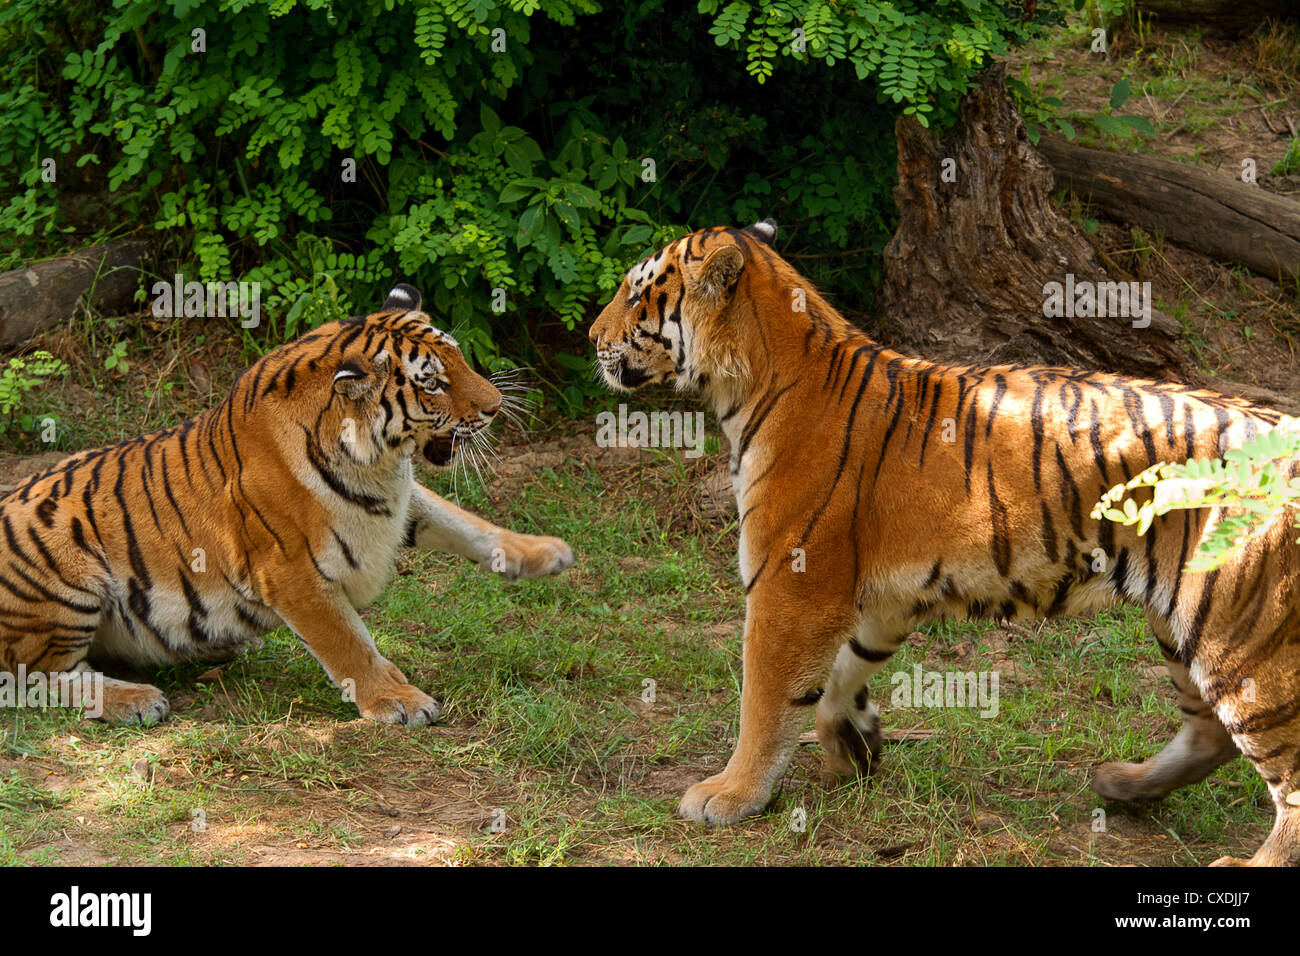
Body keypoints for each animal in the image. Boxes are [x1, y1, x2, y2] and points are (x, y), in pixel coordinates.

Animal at [0, 283, 574, 727]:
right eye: (433, 382)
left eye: (460, 359)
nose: (496, 408)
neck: (380, 462)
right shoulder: (291, 571)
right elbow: (349, 642)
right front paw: (400, 701)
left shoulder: (396, 502)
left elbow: (469, 524)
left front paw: (546, 553)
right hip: (62, 561)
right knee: (36, 675)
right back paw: (136, 700)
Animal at [588, 220, 1300, 867]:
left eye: (636, 292)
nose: (591, 337)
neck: (753, 379)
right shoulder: (881, 599)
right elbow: (840, 676)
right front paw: (853, 746)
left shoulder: (791, 586)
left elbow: (763, 702)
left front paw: (730, 795)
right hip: (1182, 618)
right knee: (1210, 732)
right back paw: (1125, 786)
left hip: (1241, 633)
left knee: (1283, 766)